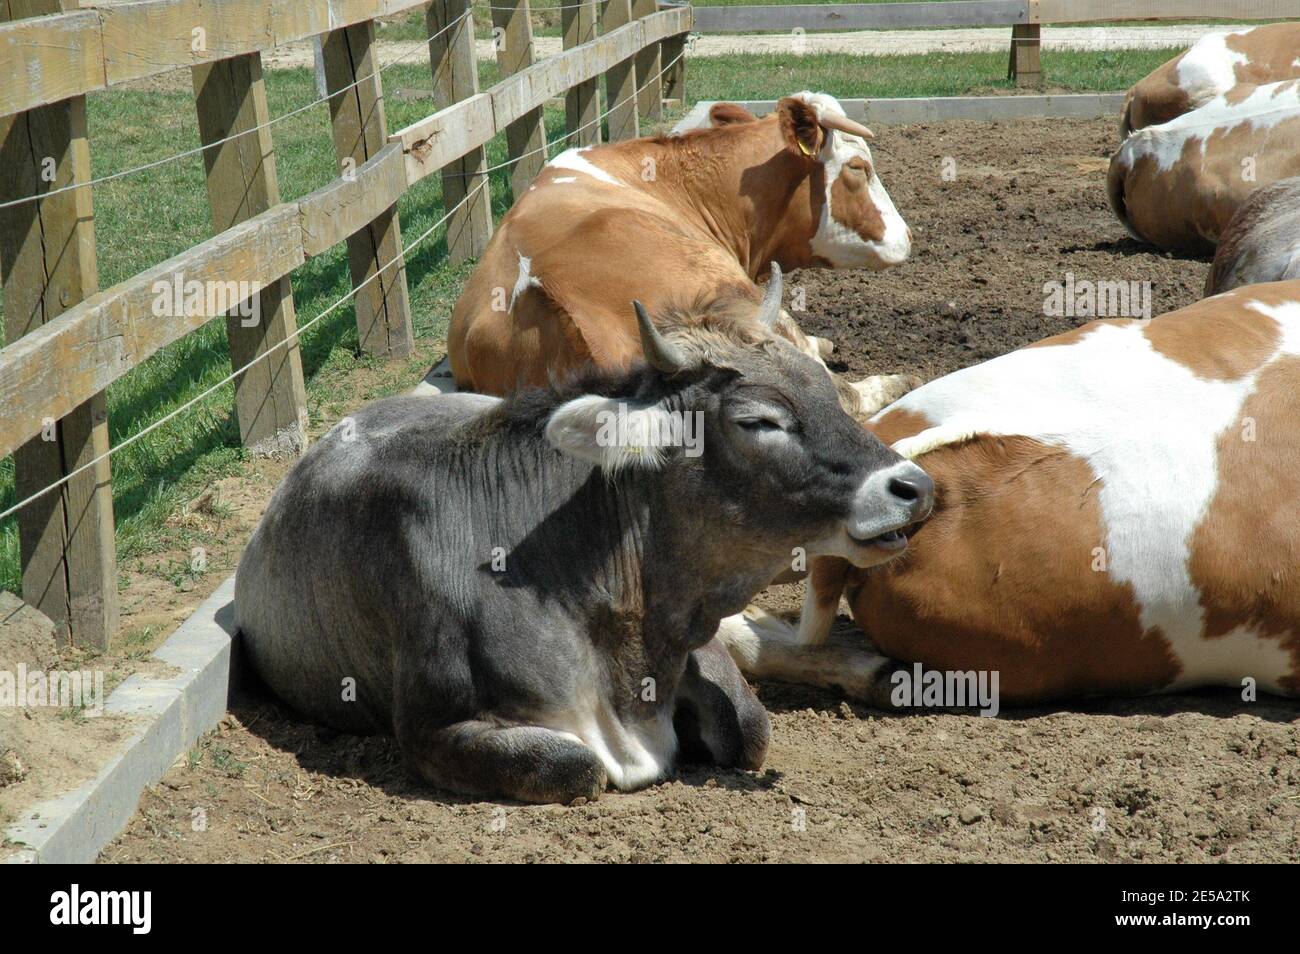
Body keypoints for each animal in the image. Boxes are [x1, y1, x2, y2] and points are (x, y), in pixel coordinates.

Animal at [236, 270, 934, 803]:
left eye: (825, 389)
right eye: (760, 421)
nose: (914, 486)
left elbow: (751, 724)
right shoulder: (434, 726)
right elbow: (577, 765)